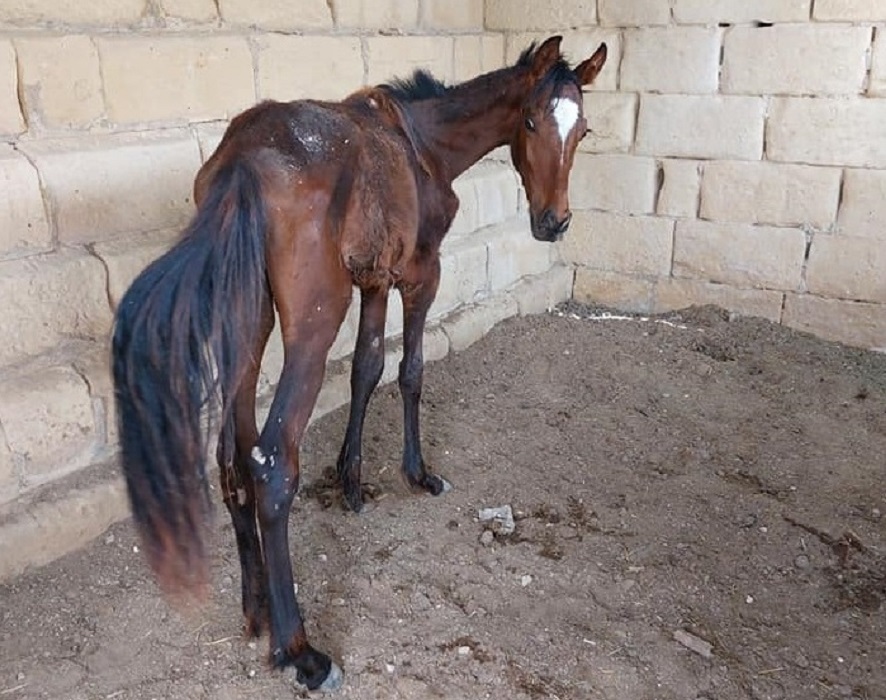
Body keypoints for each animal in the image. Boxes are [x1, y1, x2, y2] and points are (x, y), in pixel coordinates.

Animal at [111, 34, 607, 692]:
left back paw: (256, 607)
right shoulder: (420, 274)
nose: (553, 222)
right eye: (529, 120)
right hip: (313, 323)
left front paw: (350, 480)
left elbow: (366, 368)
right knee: (272, 461)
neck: (424, 144)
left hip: (249, 319)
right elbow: (409, 371)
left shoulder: (373, 279)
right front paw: (417, 473)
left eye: (584, 130)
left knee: (232, 455)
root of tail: (244, 162)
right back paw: (299, 649)